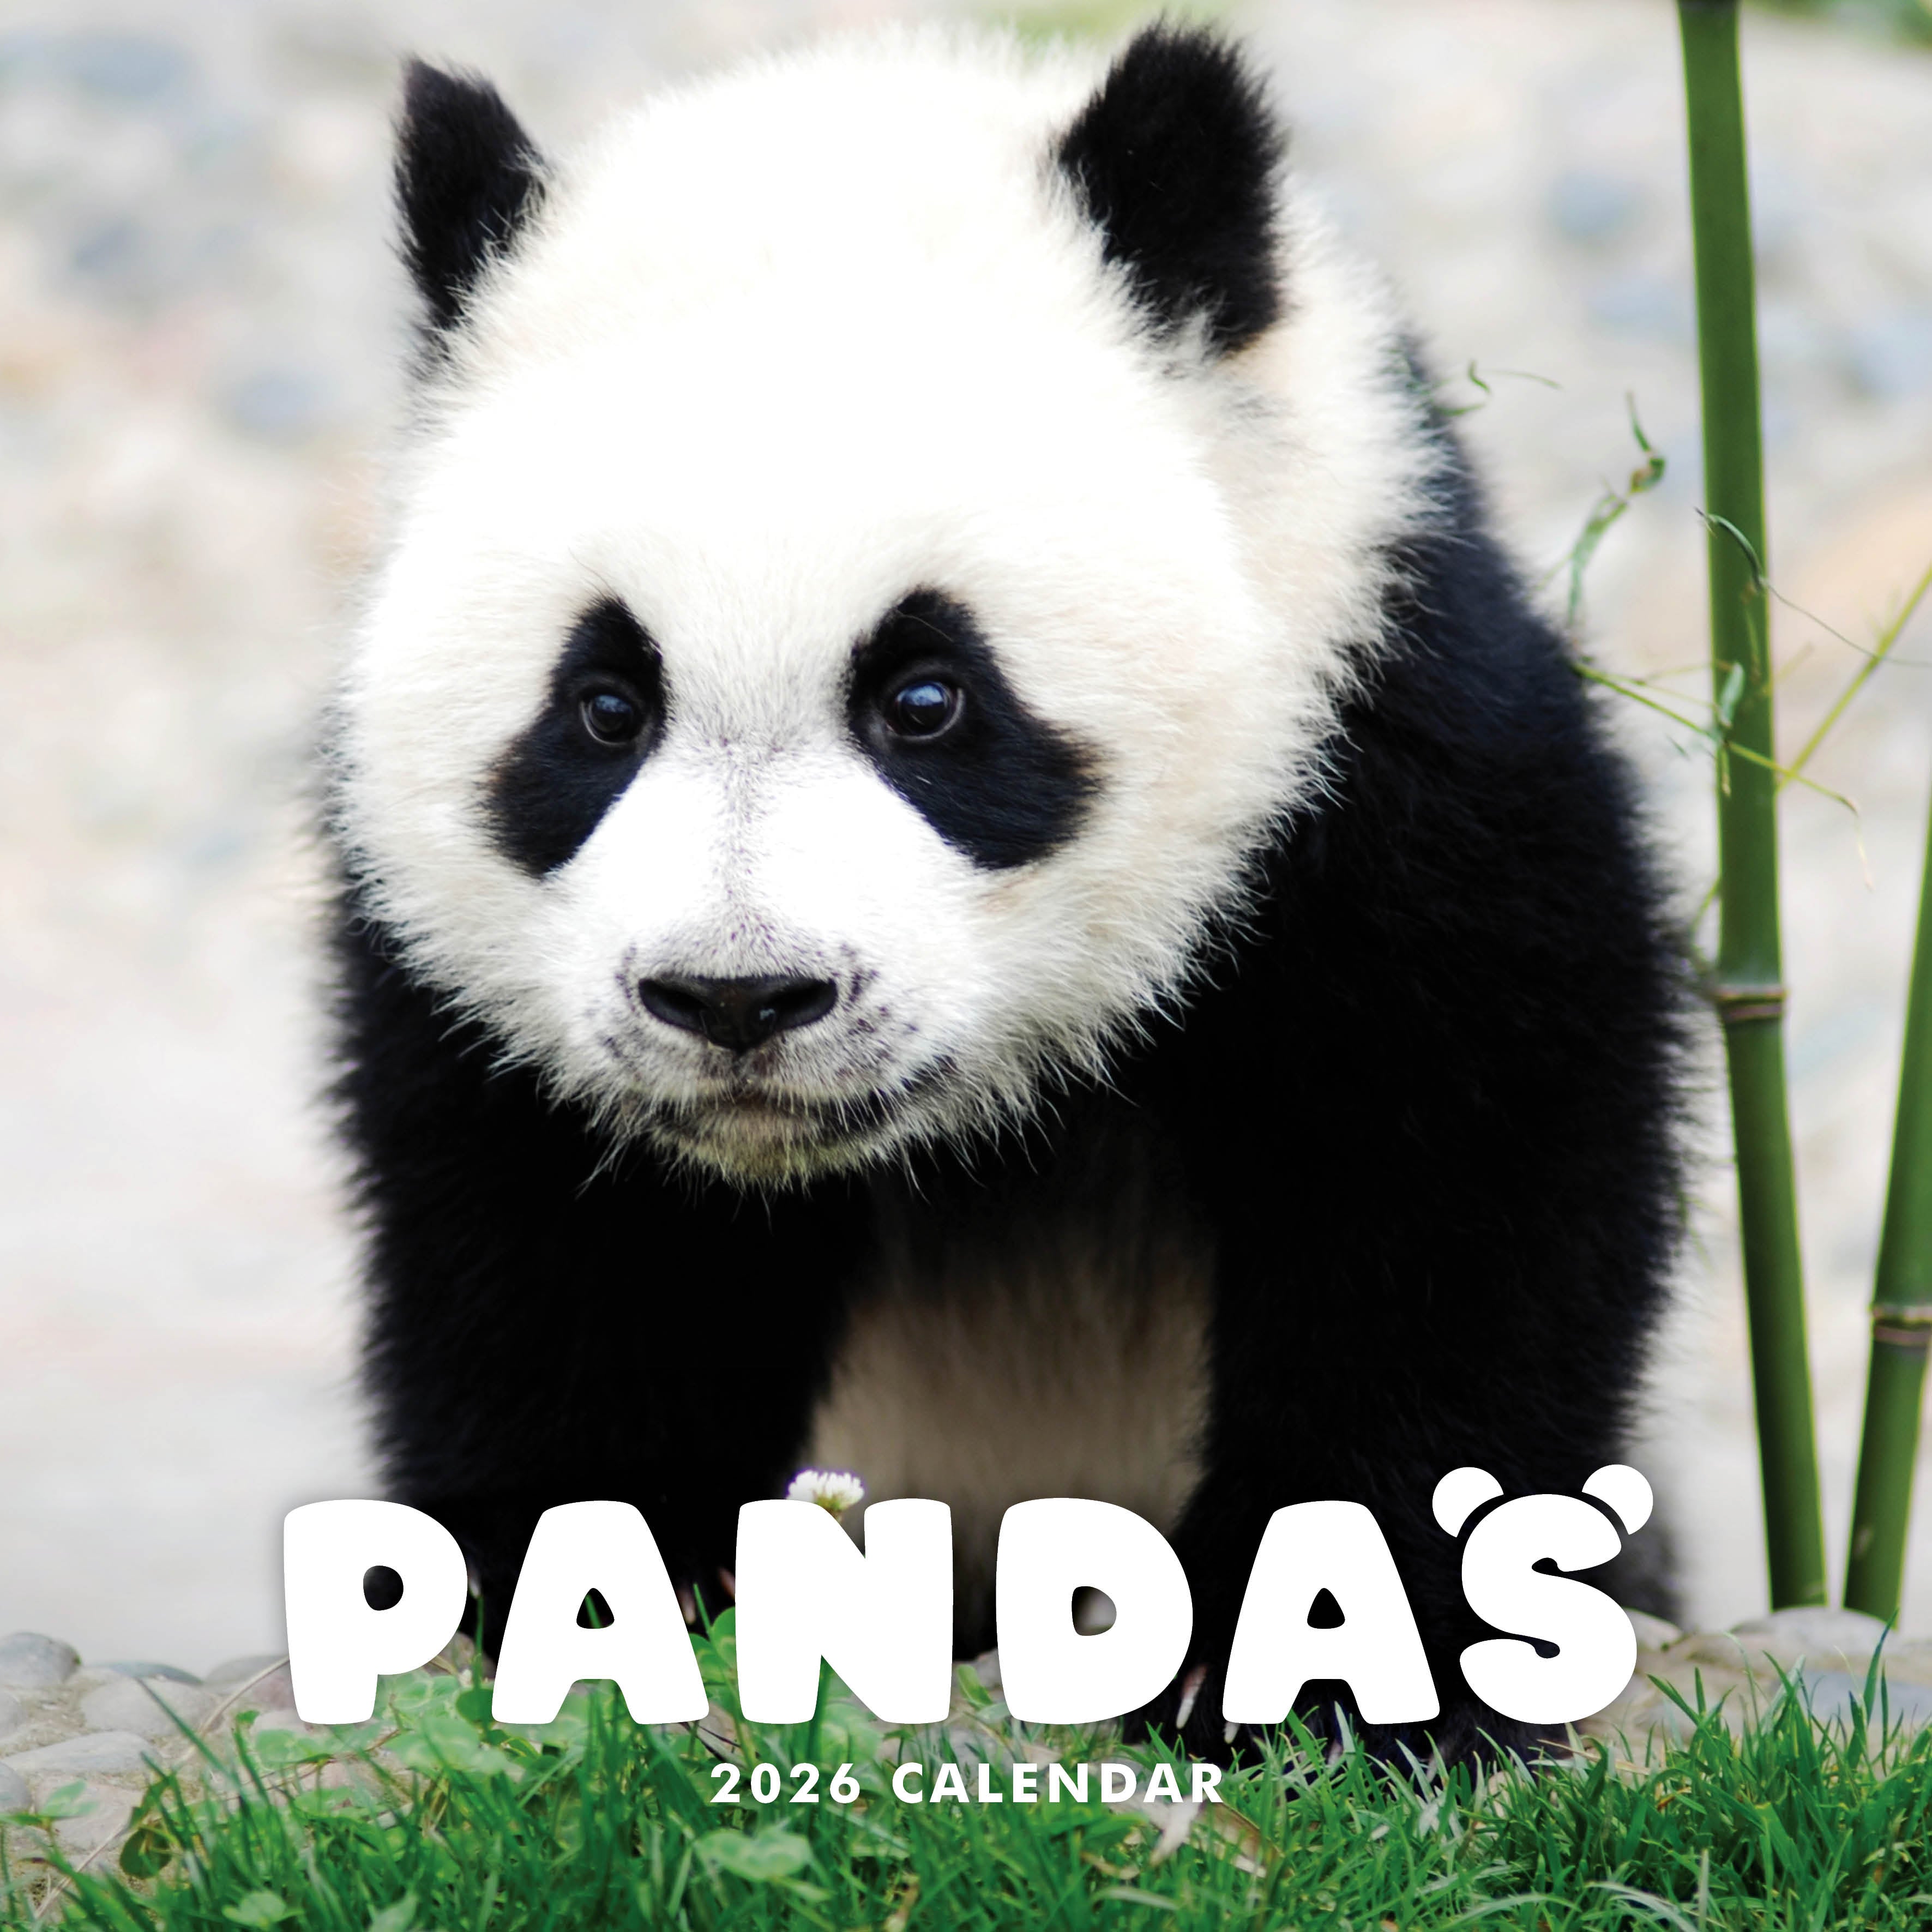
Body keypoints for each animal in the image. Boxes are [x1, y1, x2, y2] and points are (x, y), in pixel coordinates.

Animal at [329, 22, 1685, 1766]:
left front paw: (1327, 1671)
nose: (739, 997)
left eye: (927, 697)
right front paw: (599, 1609)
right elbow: (553, 1263)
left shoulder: (1378, 745)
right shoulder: (469, 991)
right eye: (604, 706)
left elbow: (1455, 1177)